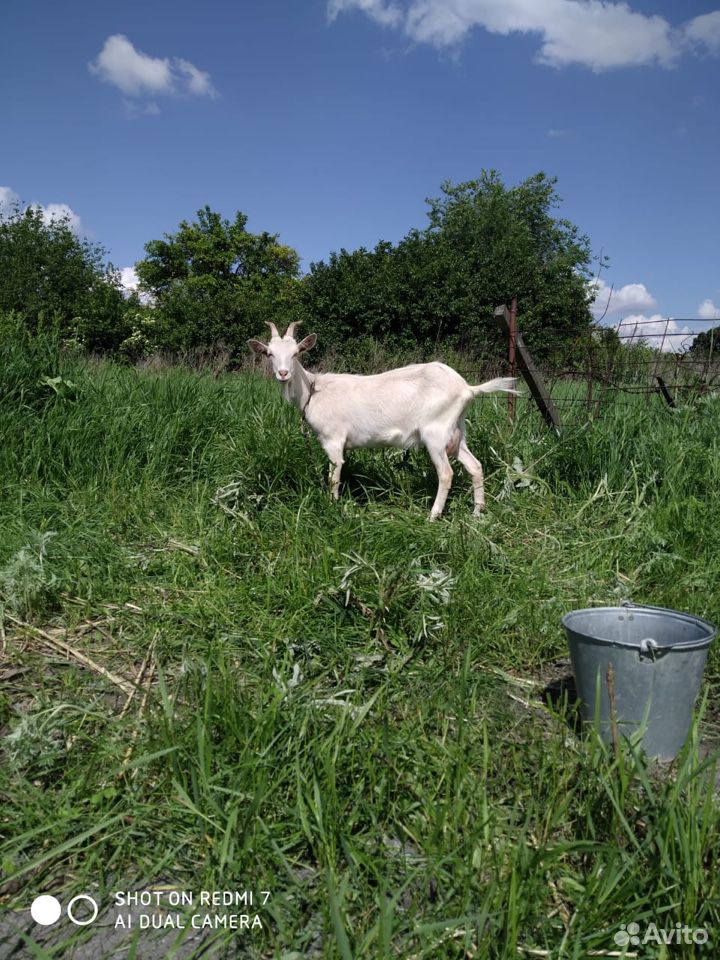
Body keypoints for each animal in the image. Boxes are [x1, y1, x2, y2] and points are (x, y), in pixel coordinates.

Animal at [248, 322, 518, 519]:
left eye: (296, 353)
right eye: (269, 354)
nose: (283, 373)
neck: (314, 390)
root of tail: (467, 388)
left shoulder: (333, 440)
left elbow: (333, 476)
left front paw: (333, 507)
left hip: (435, 432)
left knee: (446, 473)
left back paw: (433, 516)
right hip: (456, 431)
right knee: (475, 466)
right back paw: (477, 513)